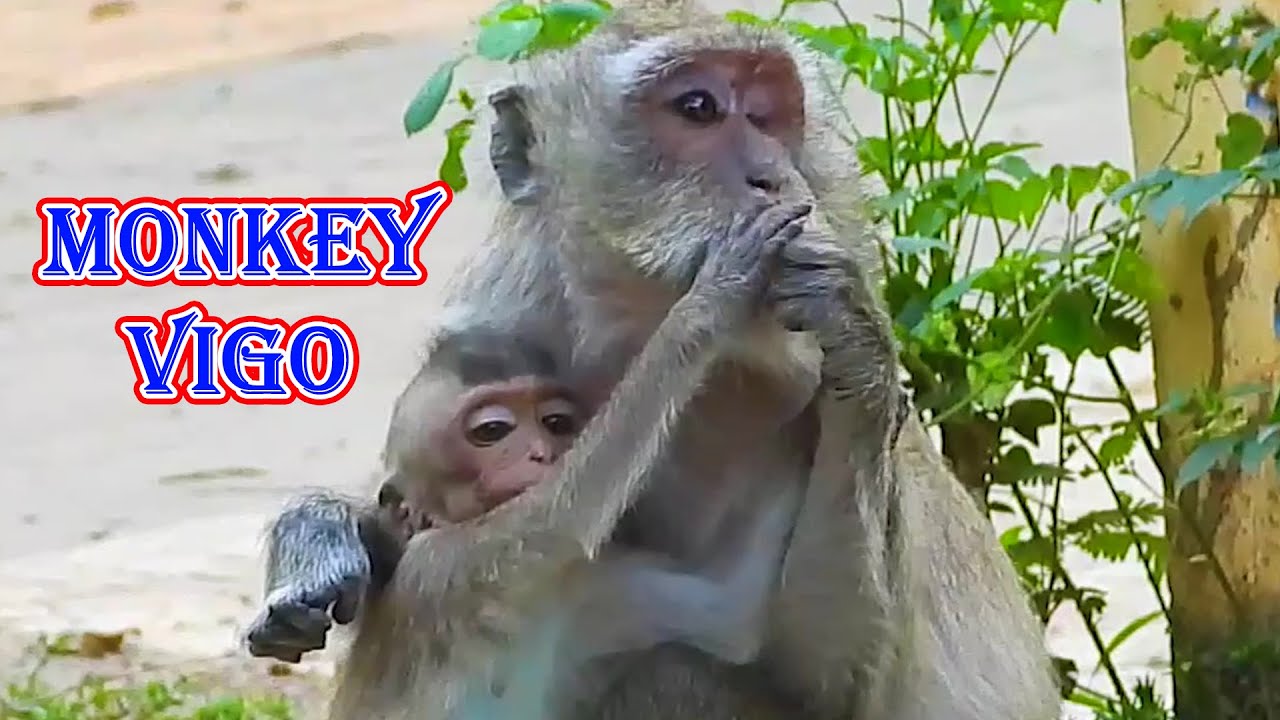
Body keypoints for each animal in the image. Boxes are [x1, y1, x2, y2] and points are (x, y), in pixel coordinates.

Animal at [245, 200, 814, 720]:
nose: (541, 454)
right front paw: (705, 307)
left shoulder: (585, 592)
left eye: (556, 423)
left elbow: (732, 608)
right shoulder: (457, 566)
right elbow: (567, 512)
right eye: (492, 431)